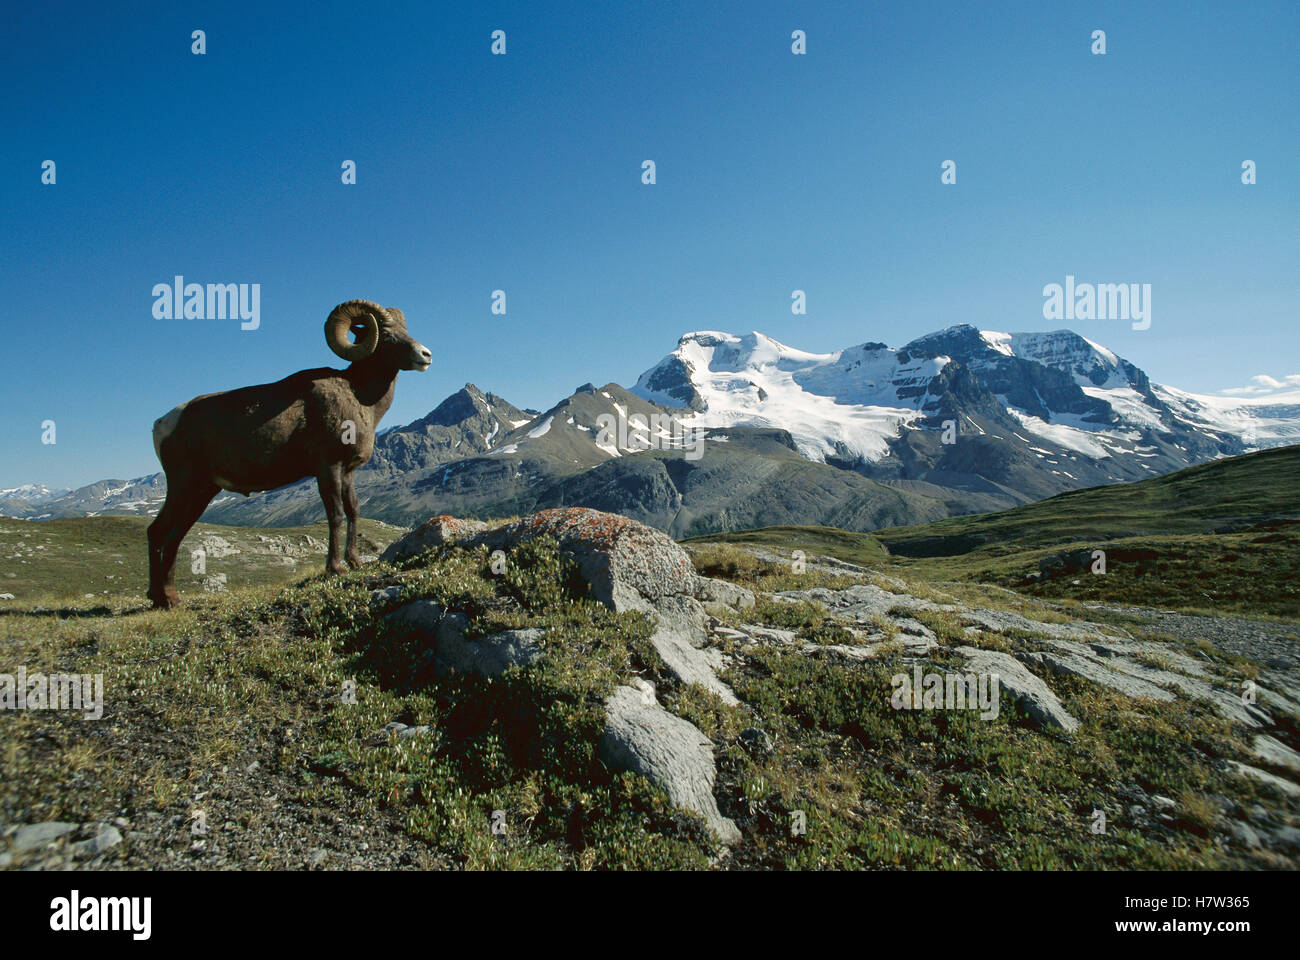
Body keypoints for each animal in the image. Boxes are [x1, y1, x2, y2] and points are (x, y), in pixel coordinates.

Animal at [147, 299, 431, 608]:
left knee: (171, 536)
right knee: (158, 531)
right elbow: (336, 514)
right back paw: (166, 598)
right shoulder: (328, 467)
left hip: (201, 493)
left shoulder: (347, 472)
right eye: (387, 335)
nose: (425, 355)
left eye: (405, 329)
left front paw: (355, 562)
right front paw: (336, 568)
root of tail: (163, 423)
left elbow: (353, 510)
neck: (358, 396)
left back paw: (164, 598)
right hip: (184, 486)